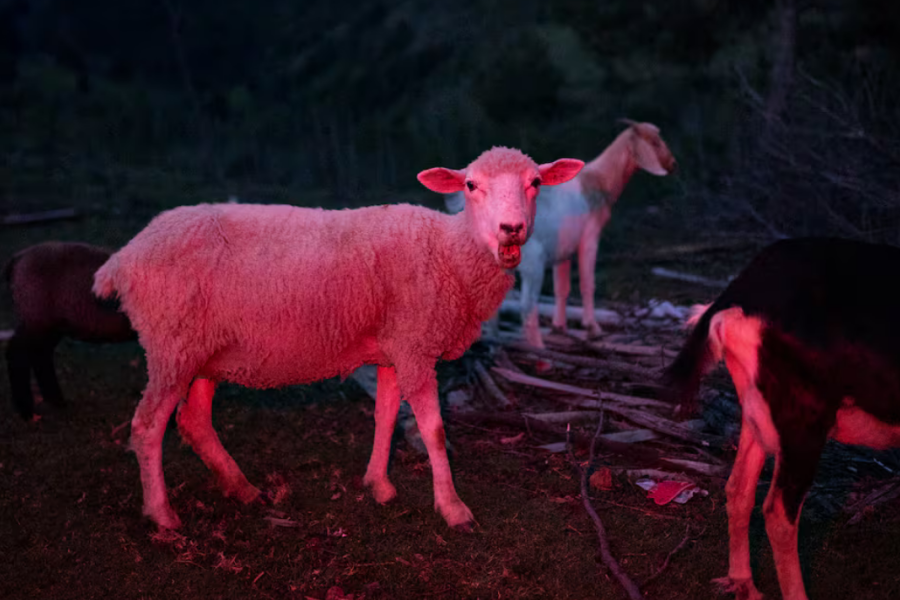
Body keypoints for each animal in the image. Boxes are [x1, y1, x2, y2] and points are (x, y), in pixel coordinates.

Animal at [5, 241, 136, 420]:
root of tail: (18, 258)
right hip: (34, 316)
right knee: (17, 354)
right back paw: (27, 411)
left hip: (51, 324)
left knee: (40, 355)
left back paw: (56, 401)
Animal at [92, 147, 584, 531]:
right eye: (470, 185)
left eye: (535, 182)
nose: (511, 229)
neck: (449, 251)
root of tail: (123, 257)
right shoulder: (415, 346)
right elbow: (434, 430)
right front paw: (453, 508)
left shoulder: (394, 346)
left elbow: (386, 415)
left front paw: (379, 485)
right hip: (171, 346)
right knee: (147, 425)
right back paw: (163, 516)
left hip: (202, 351)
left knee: (193, 421)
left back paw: (243, 489)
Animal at [446, 120, 676, 353]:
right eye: (655, 142)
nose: (673, 164)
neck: (597, 182)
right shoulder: (589, 237)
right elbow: (587, 284)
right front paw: (593, 328)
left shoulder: (563, 249)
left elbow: (562, 288)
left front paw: (559, 327)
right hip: (533, 264)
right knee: (527, 306)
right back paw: (538, 348)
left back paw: (495, 341)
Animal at [662, 237, 900, 600]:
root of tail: (736, 300)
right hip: (802, 418)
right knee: (778, 511)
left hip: (756, 407)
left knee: (738, 486)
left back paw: (743, 583)